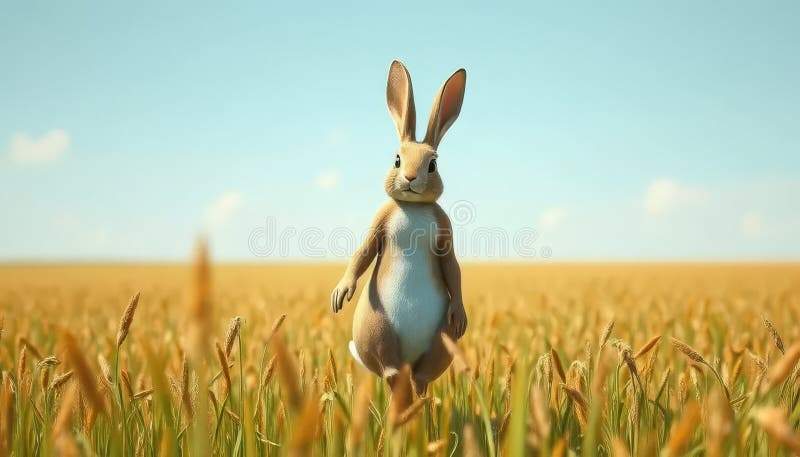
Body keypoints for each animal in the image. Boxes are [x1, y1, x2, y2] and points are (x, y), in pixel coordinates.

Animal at [330, 60, 467, 395]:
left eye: (432, 165)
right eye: (396, 159)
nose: (409, 178)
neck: (413, 208)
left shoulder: (444, 227)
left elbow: (452, 266)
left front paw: (461, 315)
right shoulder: (381, 218)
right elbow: (363, 252)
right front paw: (341, 292)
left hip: (439, 341)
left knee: (419, 378)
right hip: (378, 325)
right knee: (392, 373)